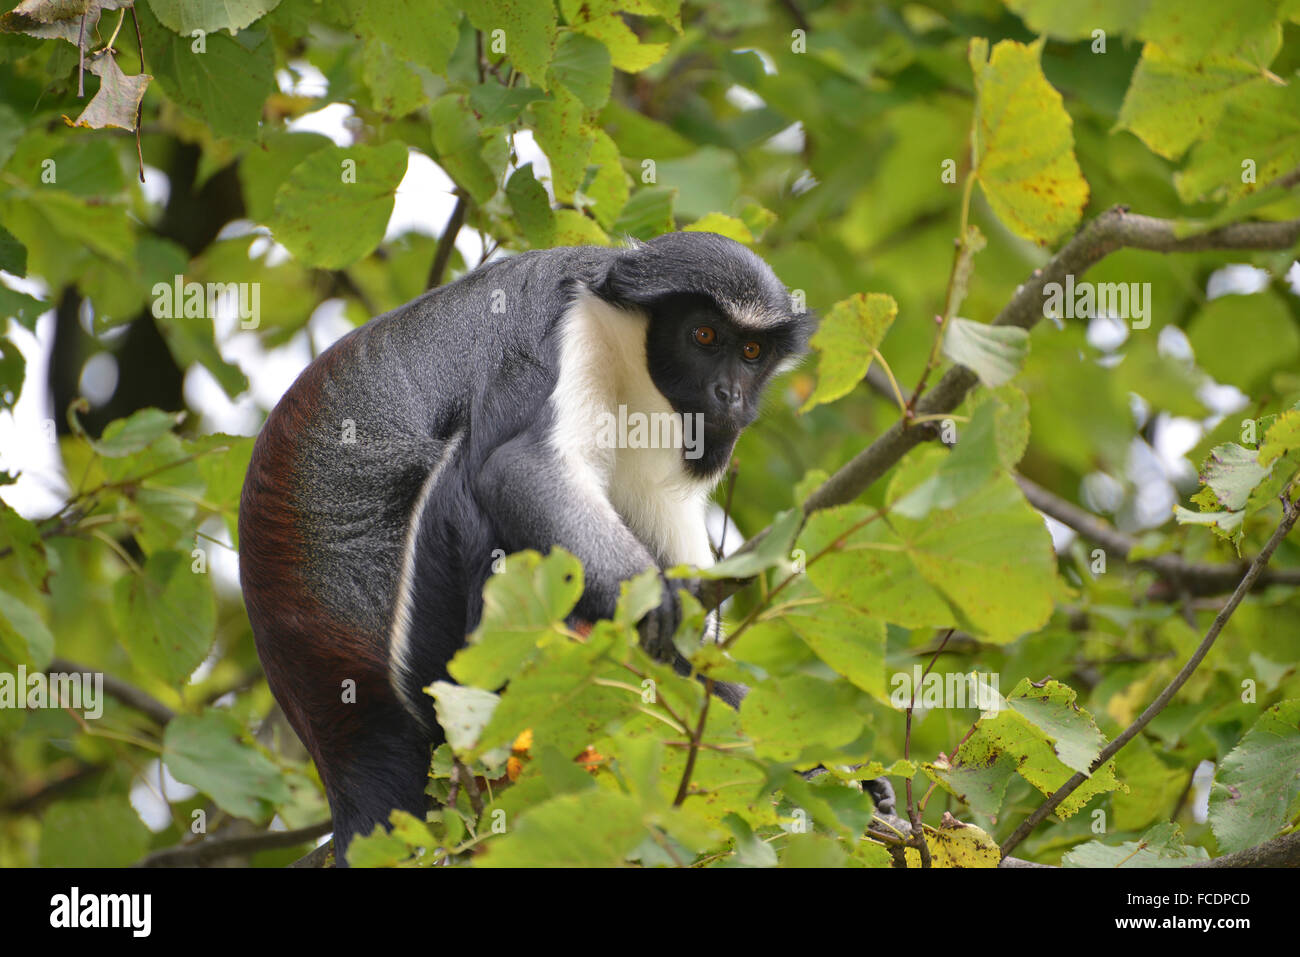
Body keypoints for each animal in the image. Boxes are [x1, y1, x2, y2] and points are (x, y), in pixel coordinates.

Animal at [238, 231, 893, 860]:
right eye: (704, 336)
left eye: (752, 352)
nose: (732, 396)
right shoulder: (558, 335)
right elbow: (519, 465)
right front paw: (661, 603)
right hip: (431, 661)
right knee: (465, 475)